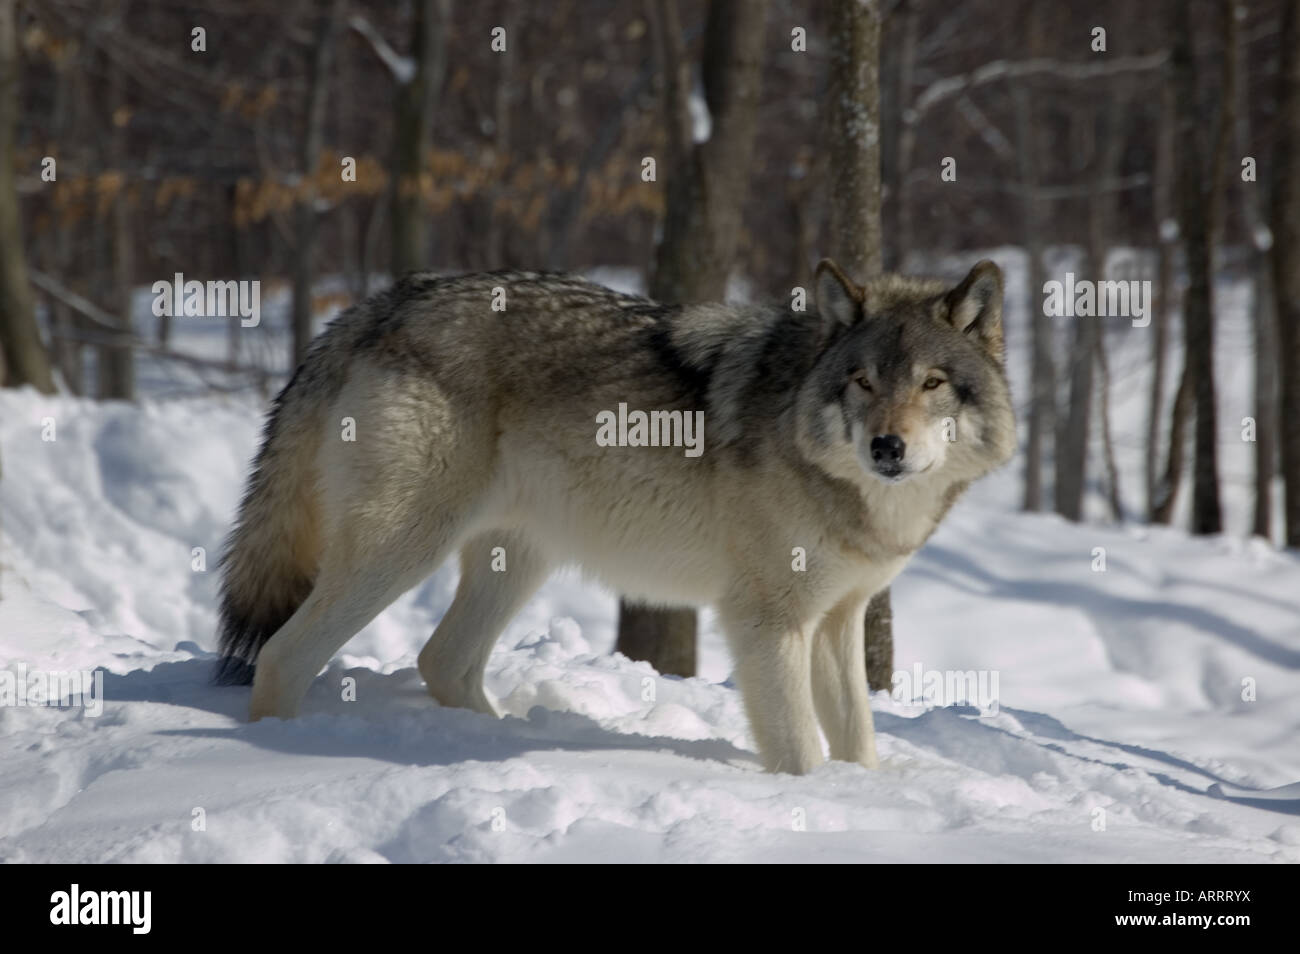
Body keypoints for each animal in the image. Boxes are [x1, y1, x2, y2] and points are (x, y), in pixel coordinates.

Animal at [216, 259, 1016, 774]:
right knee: (285, 655)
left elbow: (858, 741)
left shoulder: (838, 619)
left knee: (440, 659)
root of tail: (378, 302)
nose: (887, 446)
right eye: (863, 381)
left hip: (517, 560)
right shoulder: (767, 622)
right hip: (403, 549)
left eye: (932, 383)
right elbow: (801, 752)